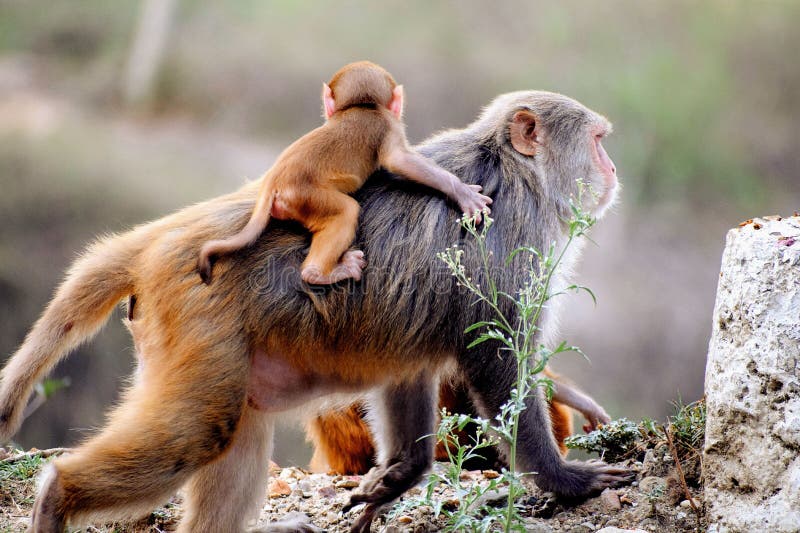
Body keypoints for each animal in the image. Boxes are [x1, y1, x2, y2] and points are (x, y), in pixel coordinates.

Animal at [197, 61, 492, 285]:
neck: (363, 107)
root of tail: (274, 182)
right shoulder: (388, 126)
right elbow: (399, 160)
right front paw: (461, 191)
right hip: (306, 197)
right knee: (346, 211)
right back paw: (319, 274)